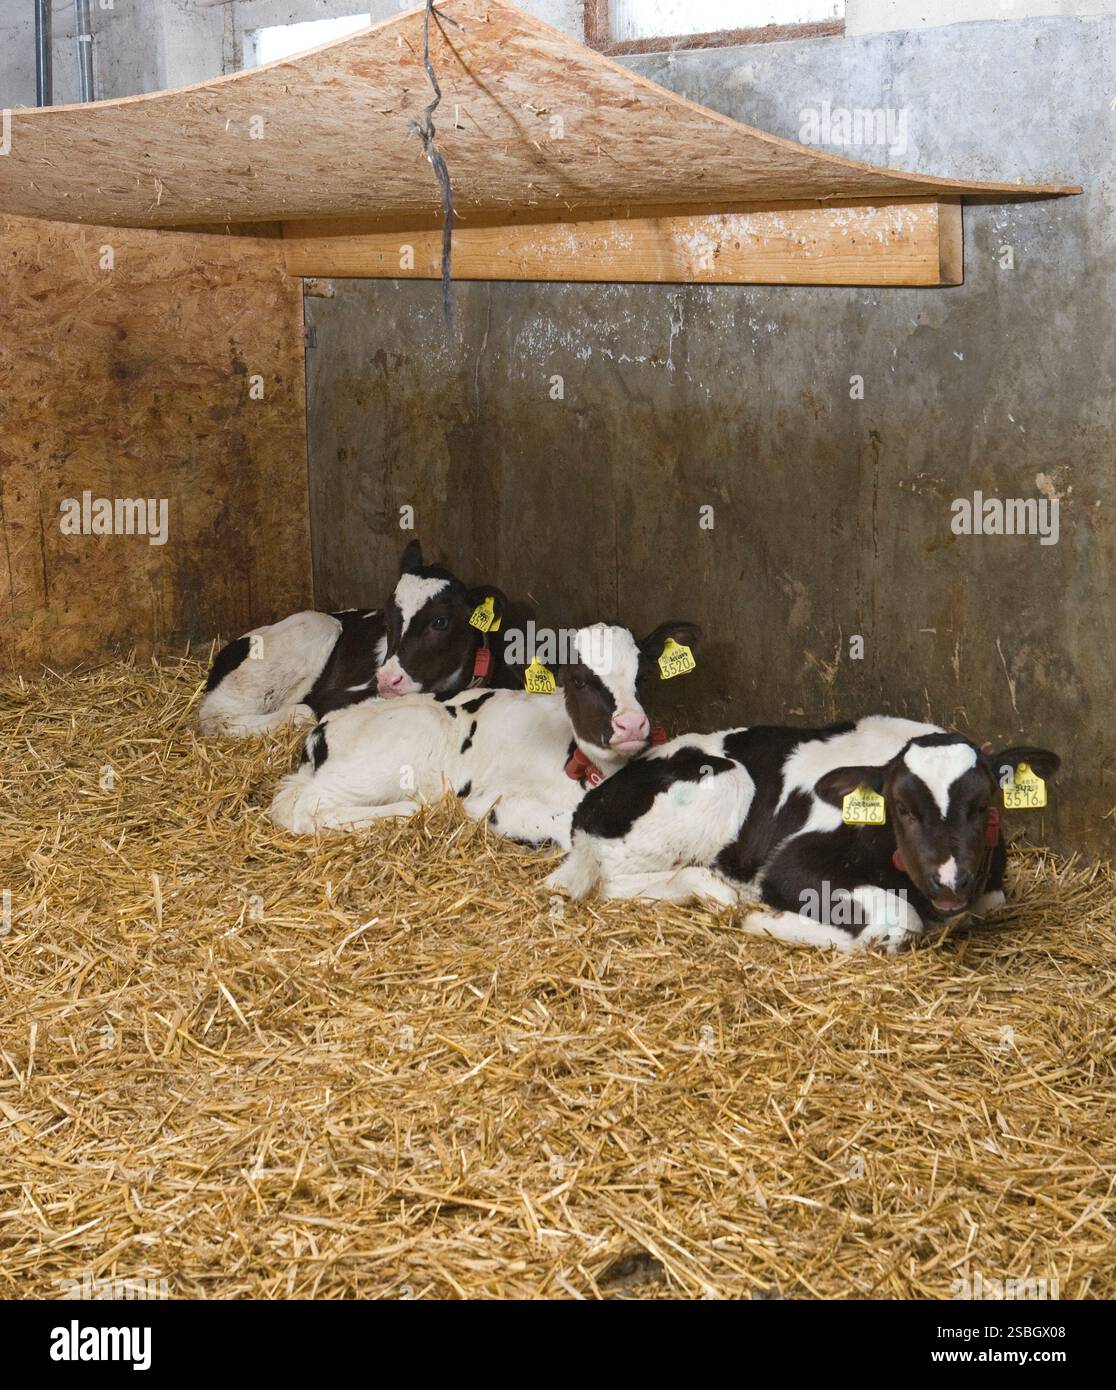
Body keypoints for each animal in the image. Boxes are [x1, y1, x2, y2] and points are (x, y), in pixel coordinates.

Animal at [199, 539, 522, 736]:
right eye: (387, 617)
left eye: (440, 621)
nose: (387, 679)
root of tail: (226, 650)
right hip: (316, 625)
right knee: (216, 716)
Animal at [267, 621, 701, 847]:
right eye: (579, 680)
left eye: (642, 678)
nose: (632, 724)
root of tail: (324, 728)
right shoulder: (498, 801)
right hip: (392, 753)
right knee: (306, 807)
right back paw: (404, 810)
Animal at [545, 715, 1060, 953]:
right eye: (902, 808)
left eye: (984, 805)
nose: (950, 883)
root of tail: (592, 801)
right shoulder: (788, 866)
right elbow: (896, 919)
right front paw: (772, 921)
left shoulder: (988, 886)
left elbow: (987, 903)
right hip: (725, 781)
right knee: (611, 880)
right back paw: (717, 892)